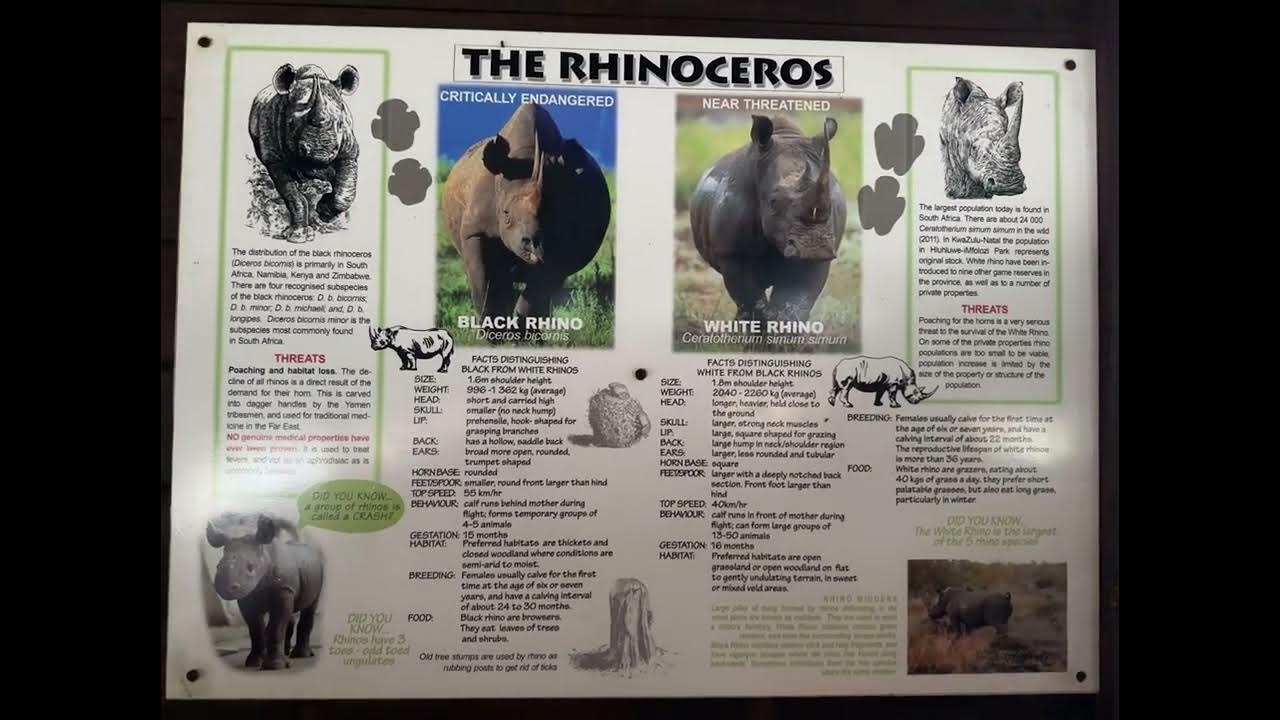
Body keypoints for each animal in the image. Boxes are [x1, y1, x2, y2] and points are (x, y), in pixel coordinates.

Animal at [206, 512, 325, 670]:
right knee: (290, 614)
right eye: (218, 566)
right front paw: (253, 663)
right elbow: (255, 630)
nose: (225, 588)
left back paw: (300, 655)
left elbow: (276, 627)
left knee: (310, 607)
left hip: (319, 570)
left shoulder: (284, 588)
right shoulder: (247, 595)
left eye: (251, 567)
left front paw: (275, 666)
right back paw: (286, 653)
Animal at [249, 63, 360, 242]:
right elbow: (293, 195)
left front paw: (324, 212)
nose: (320, 153)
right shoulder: (274, 159)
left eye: (341, 124)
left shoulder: (348, 151)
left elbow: (344, 193)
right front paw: (297, 237)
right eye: (290, 123)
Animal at [442, 103, 611, 337]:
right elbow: (484, 283)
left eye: (558, 215)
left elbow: (537, 294)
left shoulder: (566, 245)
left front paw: (523, 337)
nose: (533, 243)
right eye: (505, 215)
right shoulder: (475, 230)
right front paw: (492, 337)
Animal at [689, 115, 847, 329]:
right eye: (773, 202)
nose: (814, 248)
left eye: (832, 203)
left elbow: (795, 302)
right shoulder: (732, 253)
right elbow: (750, 300)